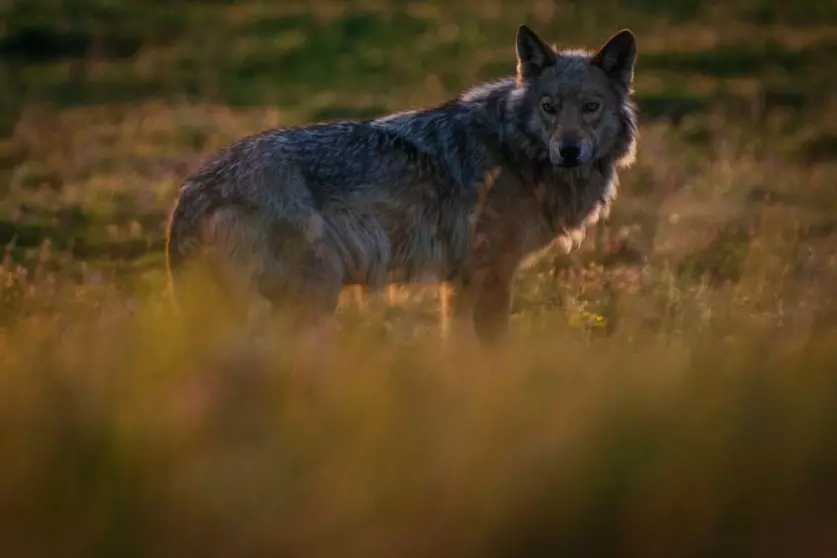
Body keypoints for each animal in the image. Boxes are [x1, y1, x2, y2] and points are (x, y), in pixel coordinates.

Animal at [165, 26, 640, 348]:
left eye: (591, 107)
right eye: (549, 107)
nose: (569, 151)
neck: (515, 151)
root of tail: (193, 192)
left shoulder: (459, 281)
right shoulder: (492, 273)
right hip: (315, 297)